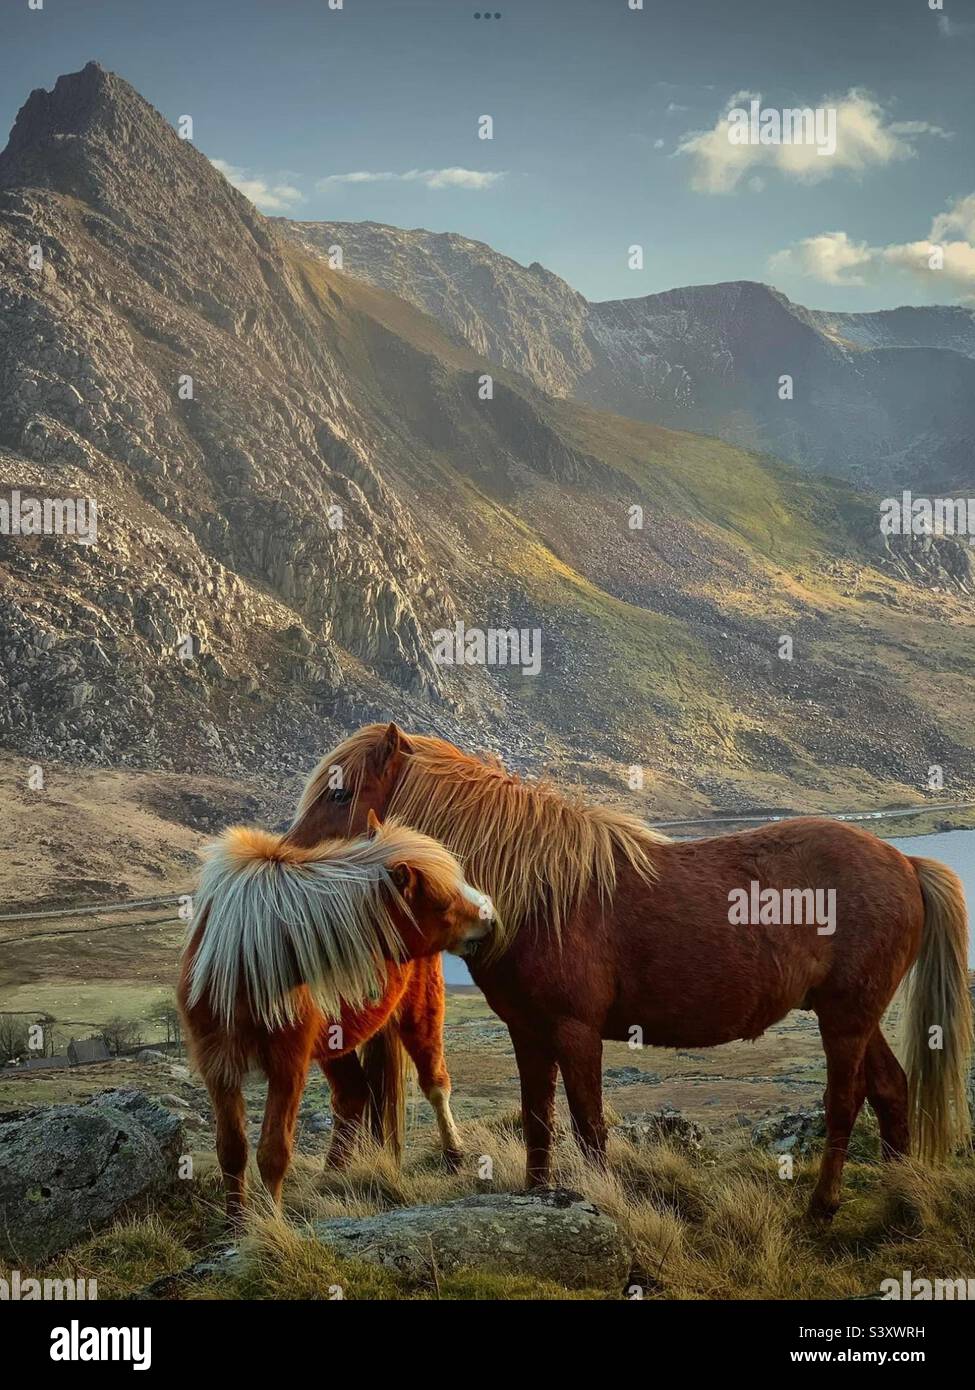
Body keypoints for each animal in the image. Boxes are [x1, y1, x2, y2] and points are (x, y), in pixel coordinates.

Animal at [178, 809, 493, 1218]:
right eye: (441, 904)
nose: (489, 915)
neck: (248, 963)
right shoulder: (218, 1066)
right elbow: (231, 1151)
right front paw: (237, 1223)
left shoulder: (288, 1066)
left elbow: (273, 1153)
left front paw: (272, 1224)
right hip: (335, 1044)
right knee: (353, 1095)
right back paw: (331, 1176)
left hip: (421, 1013)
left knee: (435, 1083)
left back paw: (454, 1155)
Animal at [287, 721, 973, 1219]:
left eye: (341, 792)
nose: (286, 863)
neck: (540, 893)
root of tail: (905, 861)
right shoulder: (528, 1032)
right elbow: (539, 1121)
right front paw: (539, 1198)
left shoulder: (576, 1030)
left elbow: (588, 1127)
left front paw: (599, 1201)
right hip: (852, 1013)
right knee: (891, 1089)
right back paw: (898, 1196)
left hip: (846, 1017)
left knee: (846, 1099)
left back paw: (823, 1207)